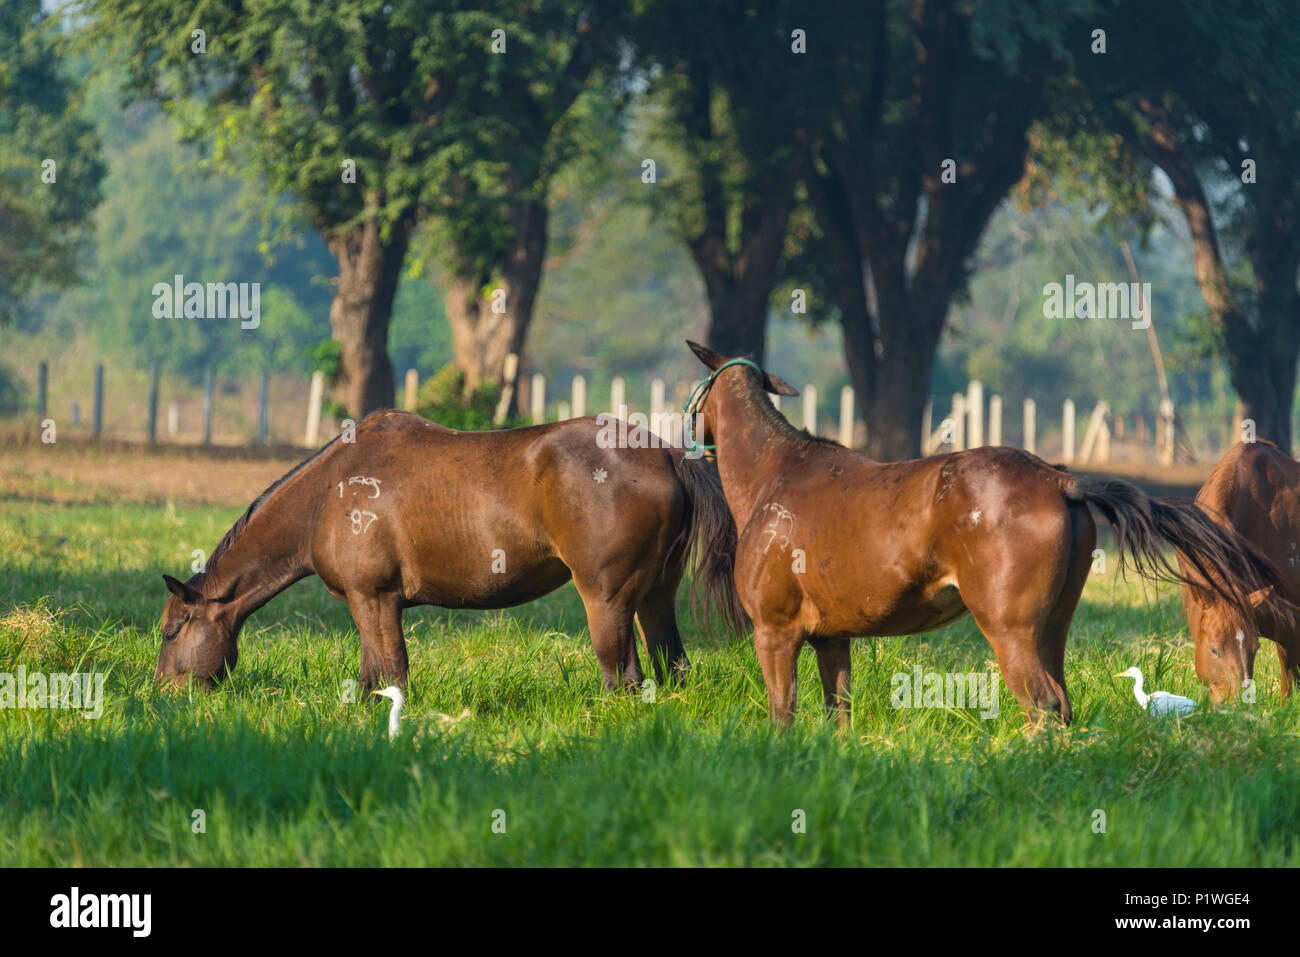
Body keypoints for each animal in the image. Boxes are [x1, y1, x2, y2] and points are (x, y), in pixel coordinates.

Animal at [156, 410, 743, 693]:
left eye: (170, 632)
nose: (162, 692)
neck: (330, 492)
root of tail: (667, 455)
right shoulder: (370, 606)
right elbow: (372, 679)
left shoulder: (374, 600)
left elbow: (392, 676)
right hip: (655, 597)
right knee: (671, 667)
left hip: (608, 601)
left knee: (623, 678)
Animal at [682, 340, 1288, 728]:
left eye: (698, 394)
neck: (777, 476)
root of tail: (1059, 478)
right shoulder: (833, 639)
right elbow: (838, 717)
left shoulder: (775, 633)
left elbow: (782, 715)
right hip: (1052, 630)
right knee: (1062, 702)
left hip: (1009, 631)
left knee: (1043, 705)